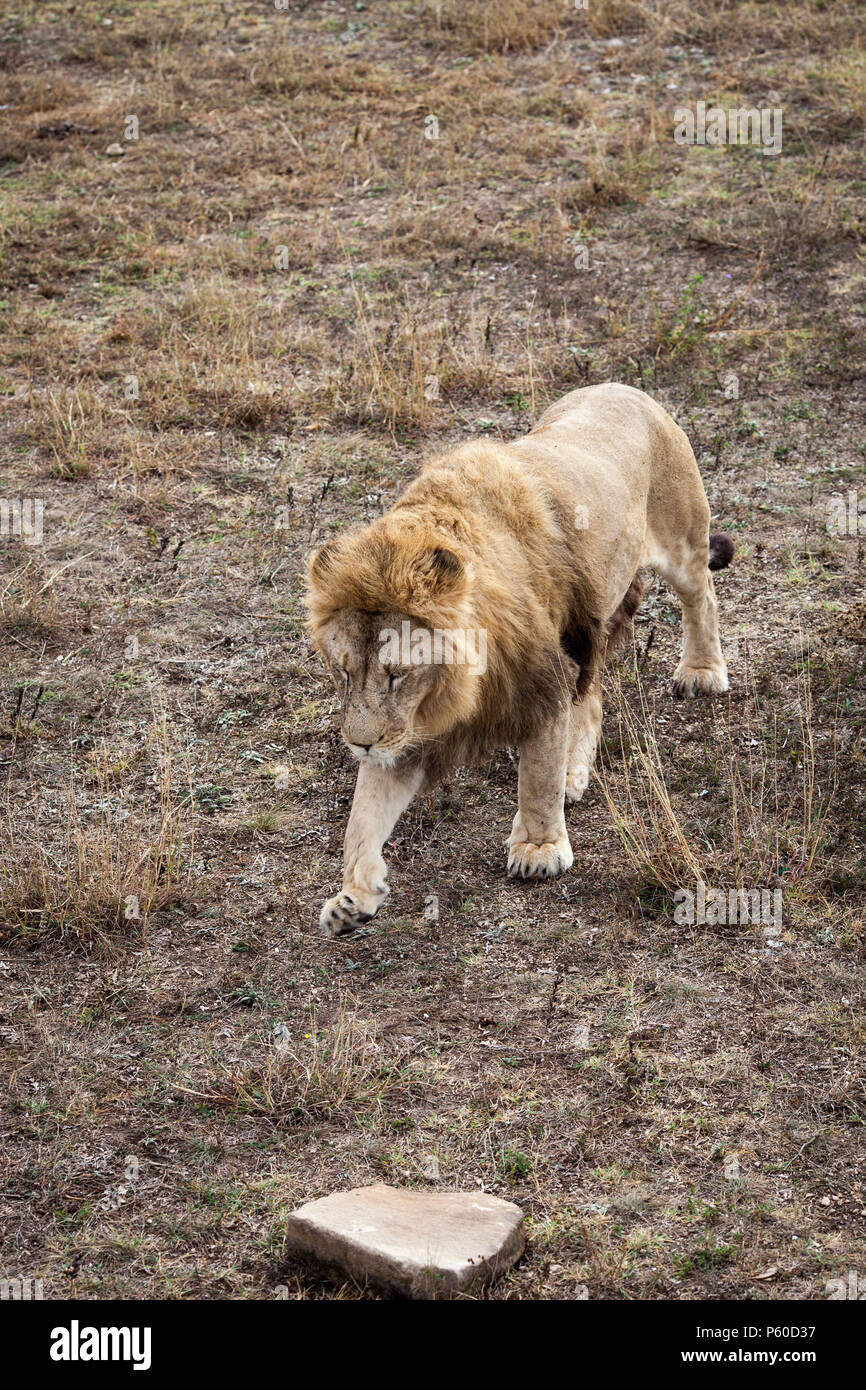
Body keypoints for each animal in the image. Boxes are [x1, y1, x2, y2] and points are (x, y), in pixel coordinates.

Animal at [306, 383, 734, 937]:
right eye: (342, 671)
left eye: (397, 674)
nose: (358, 745)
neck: (452, 690)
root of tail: (625, 387)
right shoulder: (403, 735)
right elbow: (362, 817)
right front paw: (353, 895)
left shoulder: (542, 684)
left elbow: (536, 777)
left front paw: (538, 847)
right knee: (591, 700)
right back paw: (575, 773)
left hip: (680, 544)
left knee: (702, 596)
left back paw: (702, 672)